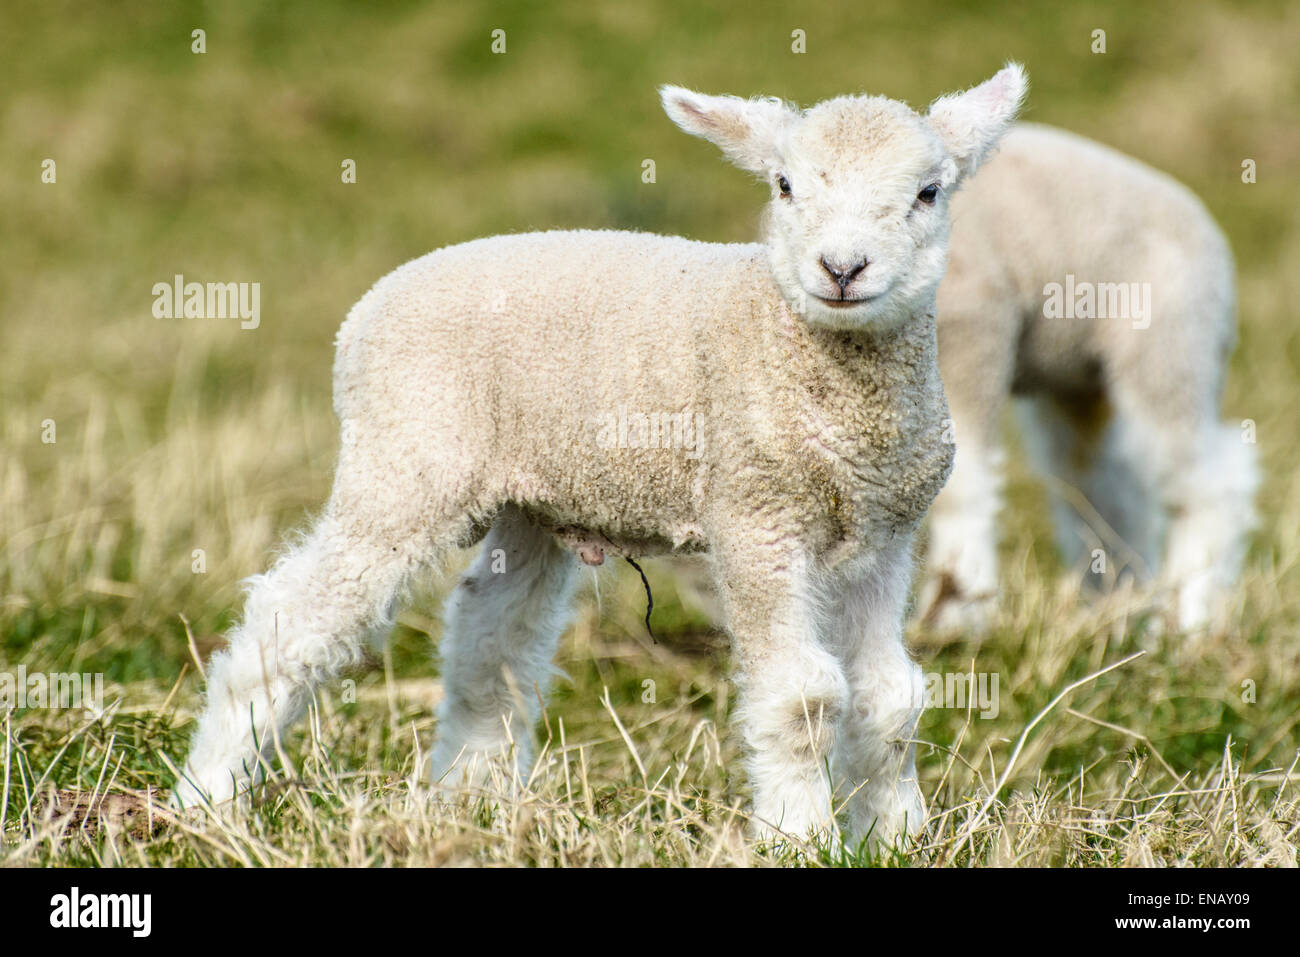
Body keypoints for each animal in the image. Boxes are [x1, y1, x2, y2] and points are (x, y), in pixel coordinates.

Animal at [171, 65, 1028, 849]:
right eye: (784, 185)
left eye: (928, 192)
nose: (842, 269)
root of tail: (368, 308)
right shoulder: (755, 517)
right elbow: (802, 695)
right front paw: (800, 836)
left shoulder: (885, 535)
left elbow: (890, 698)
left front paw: (899, 837)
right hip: (405, 460)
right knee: (292, 620)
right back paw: (207, 799)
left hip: (530, 497)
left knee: (491, 635)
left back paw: (471, 803)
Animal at [918, 123, 1257, 634]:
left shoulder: (972, 331)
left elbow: (961, 482)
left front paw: (956, 614)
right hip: (1080, 380)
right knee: (1107, 486)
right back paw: (1116, 603)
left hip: (1171, 351)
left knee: (1213, 482)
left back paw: (1184, 617)